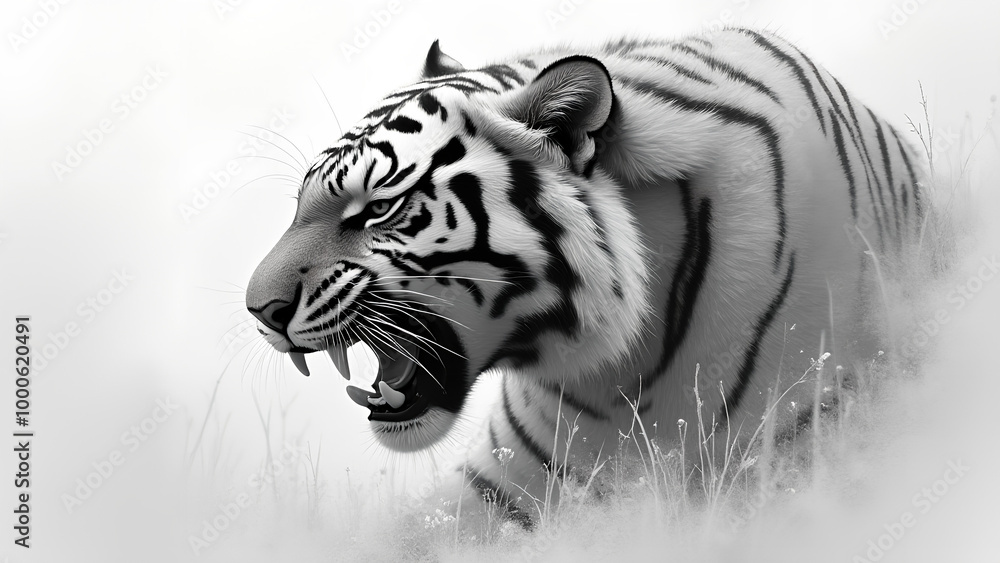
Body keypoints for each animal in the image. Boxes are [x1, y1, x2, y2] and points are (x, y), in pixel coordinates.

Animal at [245, 27, 924, 519]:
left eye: (378, 209)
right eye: (301, 204)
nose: (258, 311)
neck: (624, 365)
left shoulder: (796, 446)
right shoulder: (505, 483)